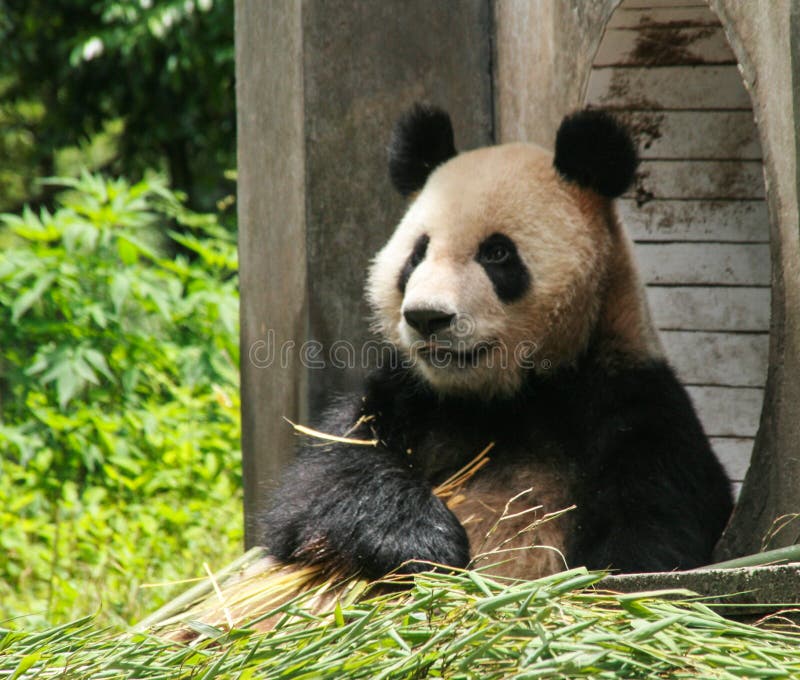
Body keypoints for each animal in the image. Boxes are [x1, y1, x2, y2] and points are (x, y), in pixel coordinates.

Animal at [263, 104, 733, 579]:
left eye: (497, 253)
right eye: (417, 253)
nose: (427, 317)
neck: (505, 398)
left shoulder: (631, 402)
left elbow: (652, 529)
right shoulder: (409, 395)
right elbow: (326, 477)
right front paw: (421, 538)